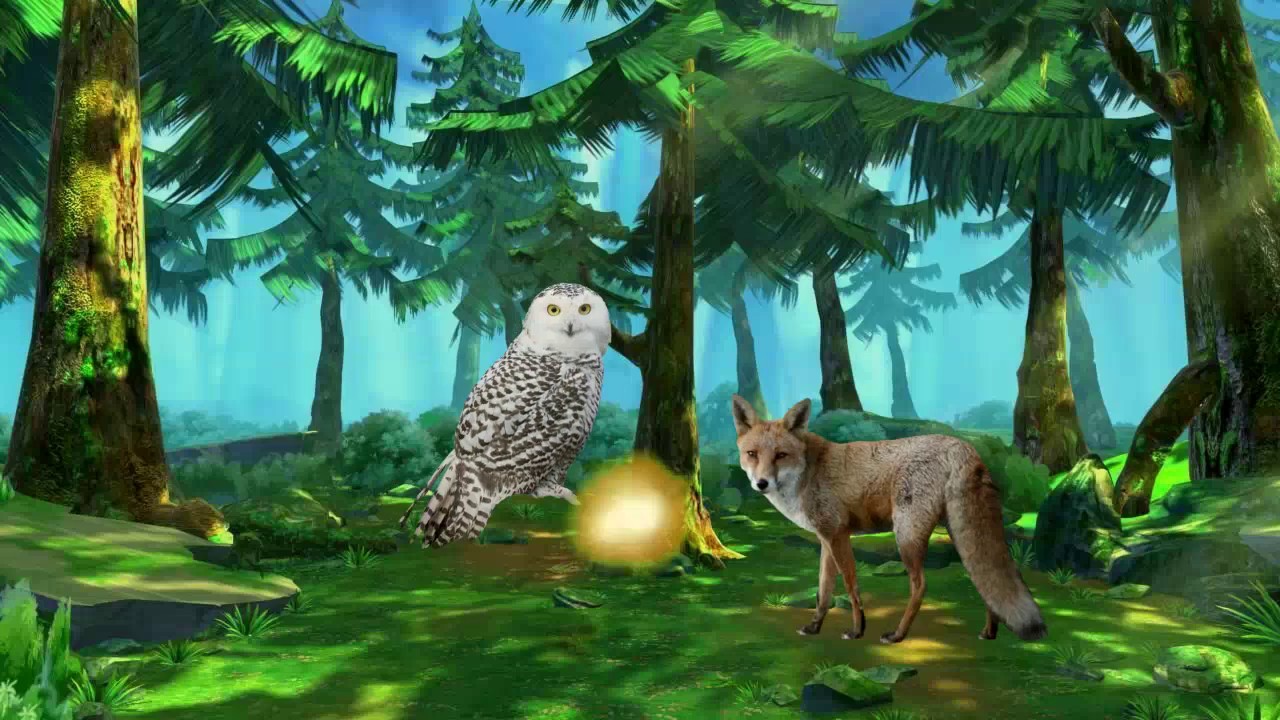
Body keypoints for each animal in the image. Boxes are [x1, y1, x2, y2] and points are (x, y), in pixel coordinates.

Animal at [732, 394, 1047, 644]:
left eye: (781, 455)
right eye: (752, 454)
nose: (761, 483)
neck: (809, 472)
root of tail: (963, 447)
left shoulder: (838, 535)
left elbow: (851, 586)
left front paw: (857, 630)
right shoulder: (826, 539)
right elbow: (823, 591)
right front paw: (814, 627)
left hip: (906, 536)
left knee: (921, 586)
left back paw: (898, 634)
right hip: (957, 532)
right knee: (983, 579)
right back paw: (989, 632)